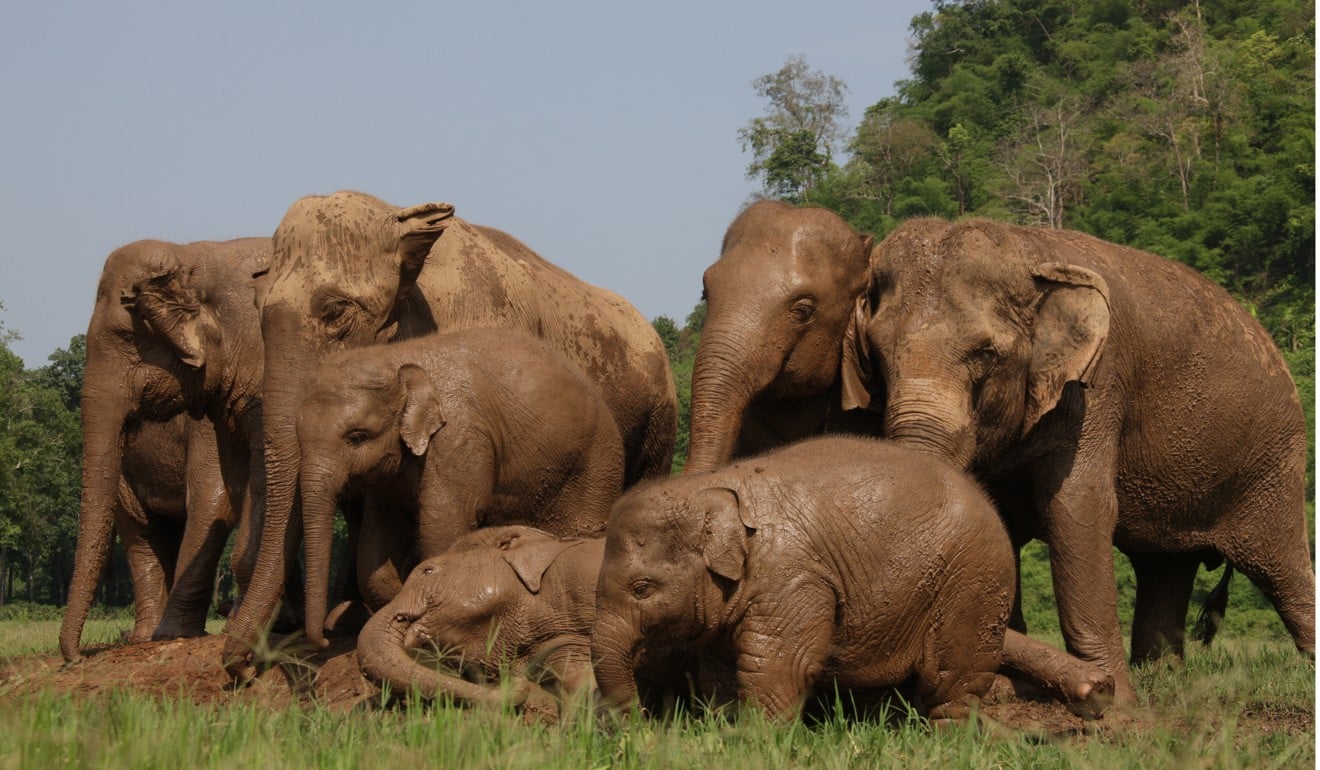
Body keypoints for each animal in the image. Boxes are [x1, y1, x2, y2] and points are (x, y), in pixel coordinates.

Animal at [61, 238, 273, 662]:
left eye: (127, 339)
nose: (74, 658)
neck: (197, 255)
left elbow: (217, 497)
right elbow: (219, 495)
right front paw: (175, 636)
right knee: (142, 531)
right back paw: (146, 637)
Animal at [294, 328, 623, 647]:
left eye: (357, 437)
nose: (325, 641)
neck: (395, 357)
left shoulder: (458, 438)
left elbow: (444, 525)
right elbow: (379, 539)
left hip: (597, 464)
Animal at [592, 436, 1016, 724]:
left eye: (642, 589)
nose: (645, 724)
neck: (703, 488)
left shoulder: (791, 578)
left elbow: (778, 666)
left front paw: (759, 741)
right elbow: (720, 673)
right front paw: (725, 732)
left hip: (973, 584)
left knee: (951, 680)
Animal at [687, 201, 1314, 705]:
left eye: (986, 355)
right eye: (878, 356)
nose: (1094, 690)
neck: (1024, 249)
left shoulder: (1095, 388)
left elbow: (1077, 511)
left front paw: (1117, 703)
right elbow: (1000, 527)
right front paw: (1015, 690)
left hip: (1275, 461)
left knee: (1282, 565)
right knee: (1166, 568)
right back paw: (1164, 678)